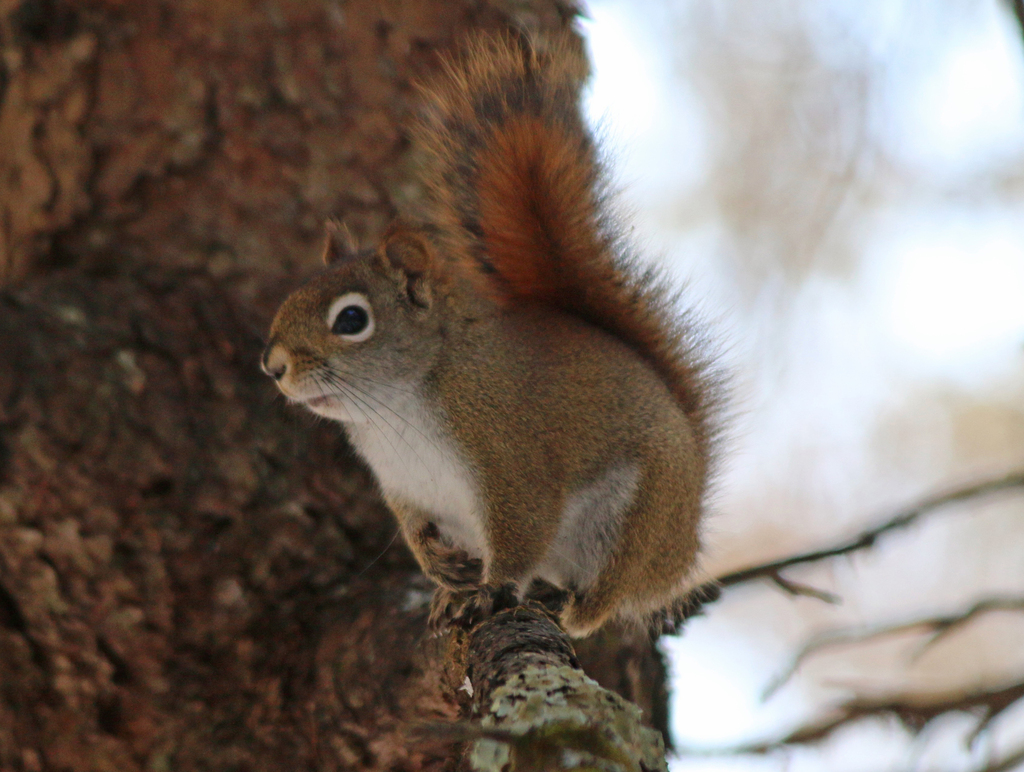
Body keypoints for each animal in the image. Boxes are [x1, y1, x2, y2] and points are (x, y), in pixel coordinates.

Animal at [261, 30, 722, 637]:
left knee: (615, 587)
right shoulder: (406, 488)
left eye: (352, 320)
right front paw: (440, 573)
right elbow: (414, 530)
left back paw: (575, 609)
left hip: (641, 516)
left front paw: (492, 590)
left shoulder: (509, 459)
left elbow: (523, 529)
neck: (400, 405)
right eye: (290, 298)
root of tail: (687, 537)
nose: (273, 366)